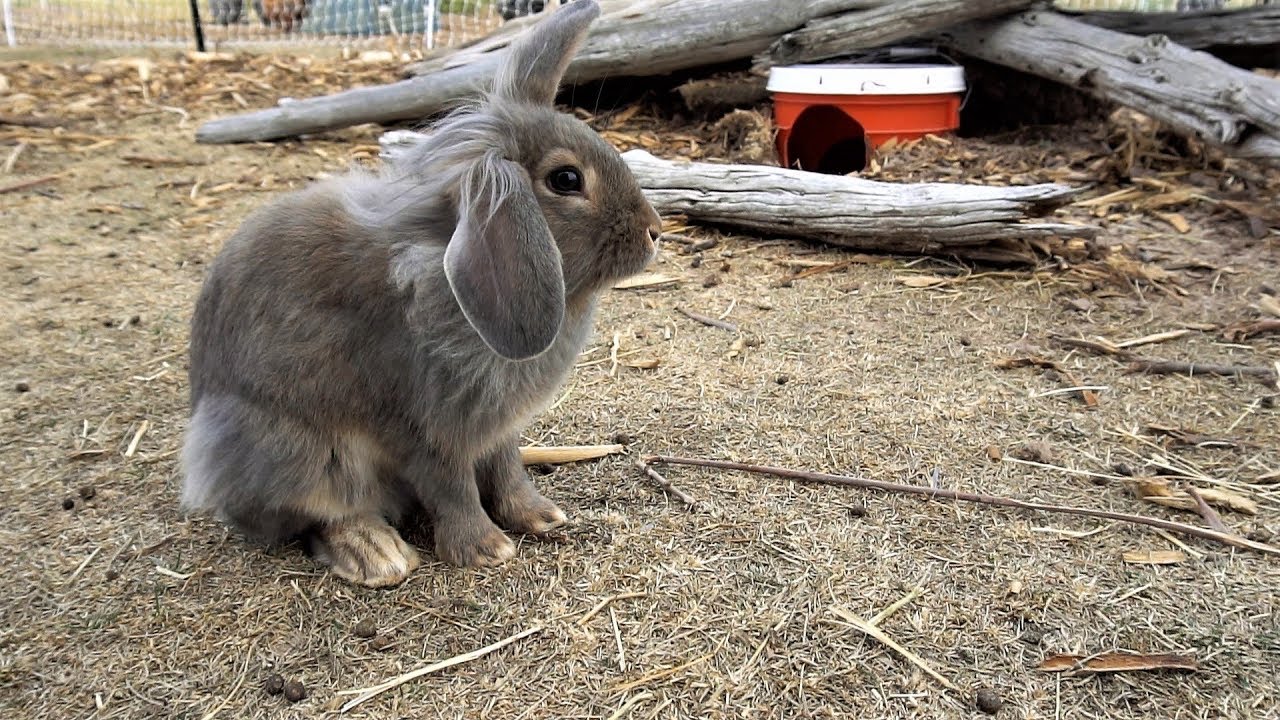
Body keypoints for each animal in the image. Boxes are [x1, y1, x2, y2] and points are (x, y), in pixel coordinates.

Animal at [179, 0, 662, 588]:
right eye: (567, 179)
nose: (655, 231)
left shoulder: (495, 428)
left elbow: (507, 469)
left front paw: (541, 517)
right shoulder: (427, 429)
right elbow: (450, 487)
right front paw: (486, 550)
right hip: (300, 452)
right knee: (314, 516)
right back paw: (375, 553)